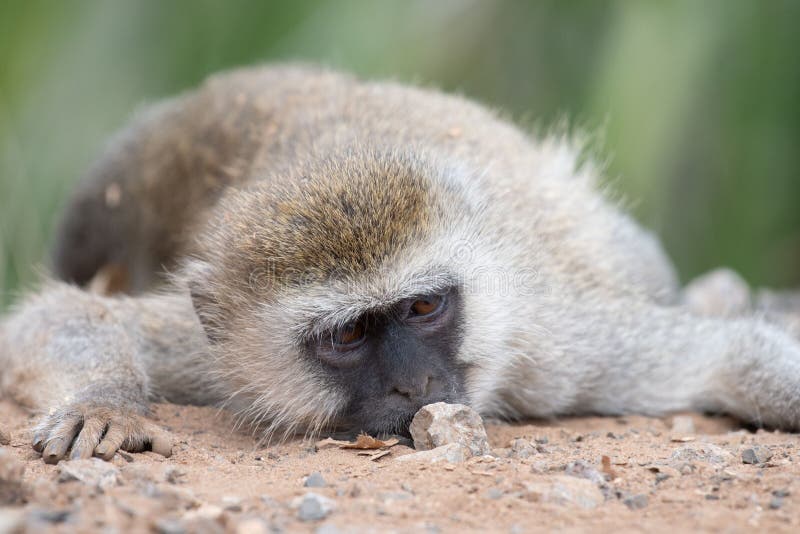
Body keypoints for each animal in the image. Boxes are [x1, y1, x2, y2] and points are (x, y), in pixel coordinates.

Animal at [1, 64, 800, 465]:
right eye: (347, 335)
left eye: (423, 307)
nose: (415, 385)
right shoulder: (215, 357)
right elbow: (68, 313)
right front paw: (104, 402)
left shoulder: (549, 348)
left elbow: (722, 356)